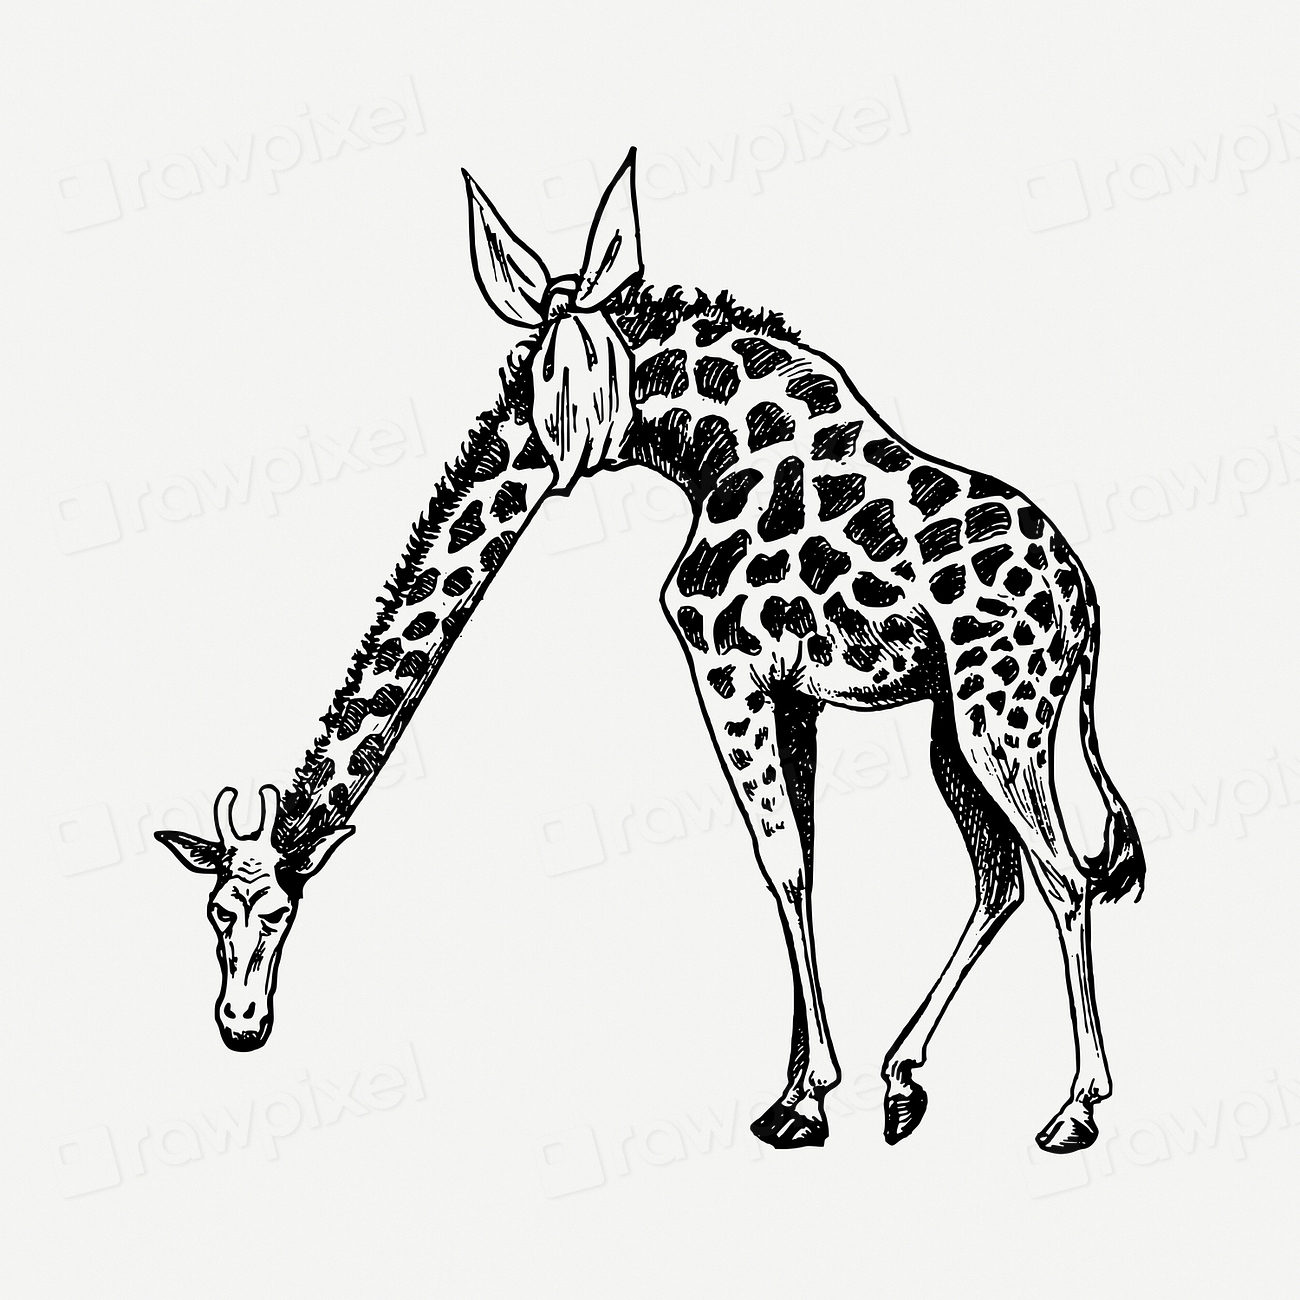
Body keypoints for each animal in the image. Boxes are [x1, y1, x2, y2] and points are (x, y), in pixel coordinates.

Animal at [157, 151, 1145, 1154]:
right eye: (212, 913)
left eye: (277, 913)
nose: (239, 1026)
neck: (696, 442)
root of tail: (1084, 606)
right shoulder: (792, 691)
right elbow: (805, 854)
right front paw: (804, 1088)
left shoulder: (723, 666)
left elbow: (780, 862)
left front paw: (806, 1098)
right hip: (959, 723)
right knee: (1000, 877)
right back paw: (904, 1080)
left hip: (1000, 718)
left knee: (1065, 878)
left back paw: (1076, 1107)